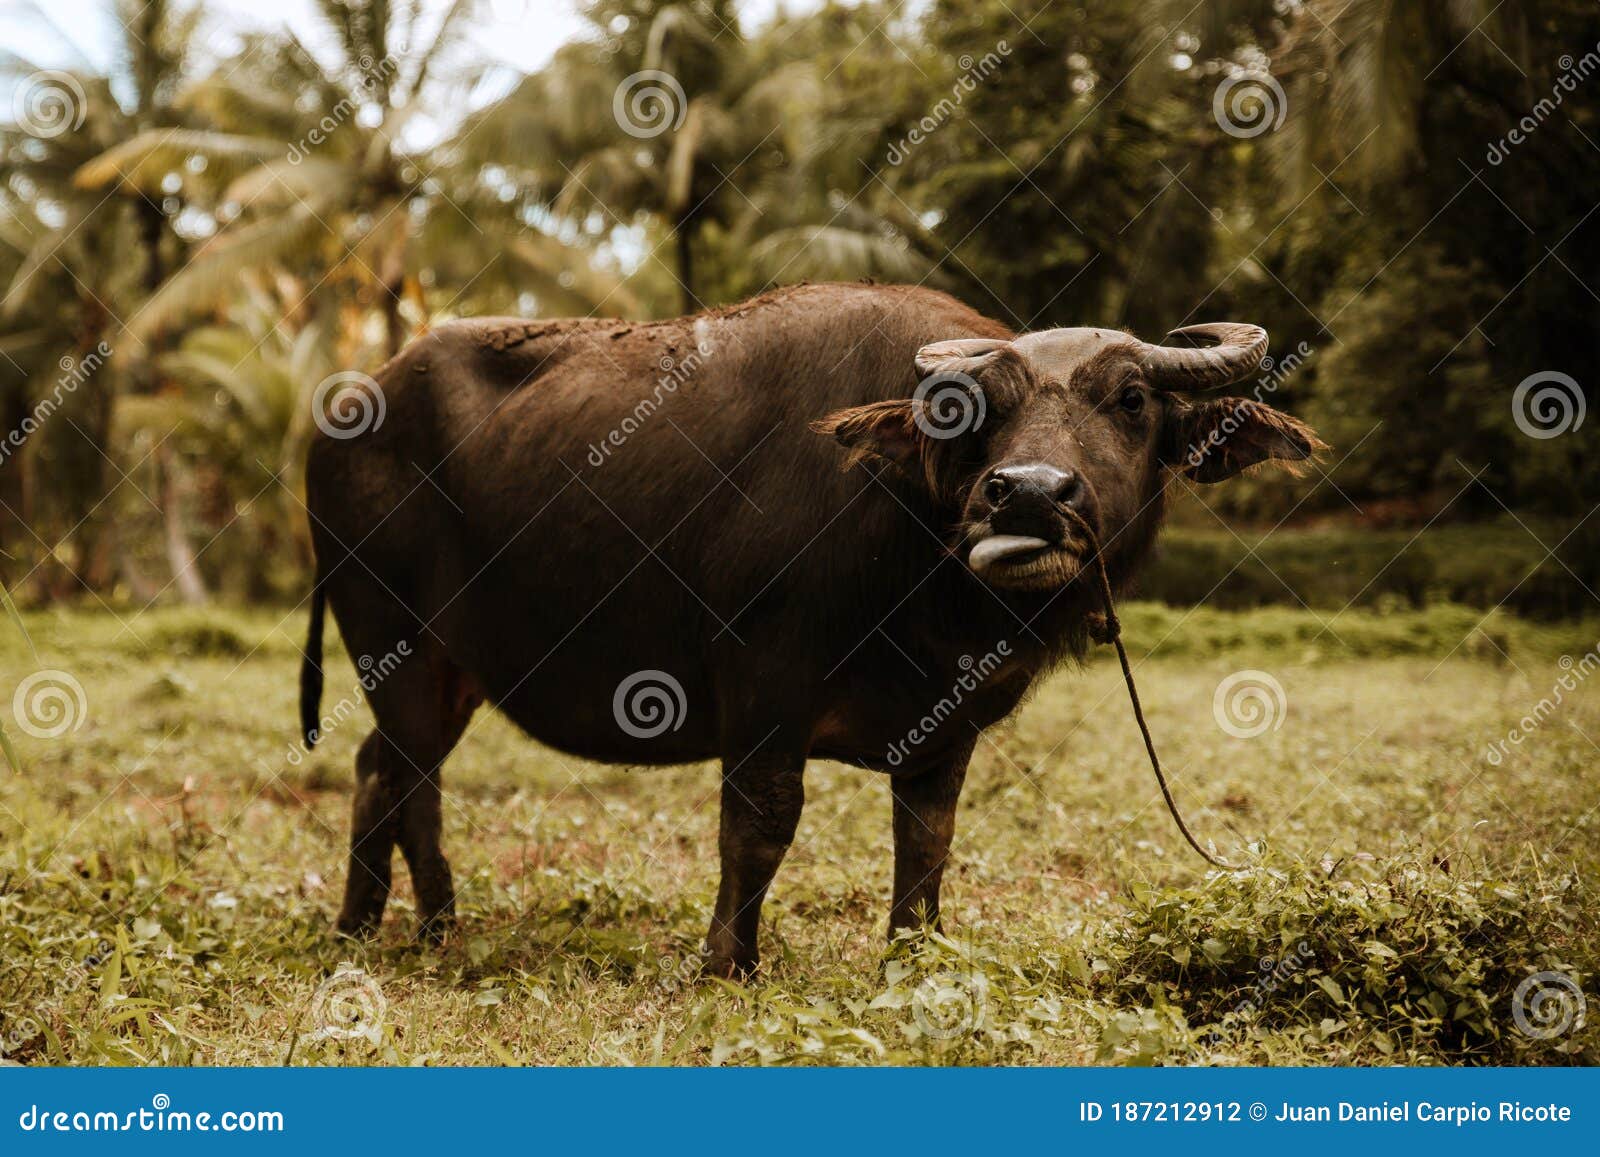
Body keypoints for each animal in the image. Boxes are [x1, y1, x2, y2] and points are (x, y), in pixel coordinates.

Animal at [301, 282, 1323, 976]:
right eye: (980, 411)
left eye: (1132, 399)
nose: (1028, 493)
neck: (917, 567)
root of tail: (349, 405)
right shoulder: (762, 689)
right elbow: (761, 825)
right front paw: (728, 962)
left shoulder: (948, 723)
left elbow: (928, 834)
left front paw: (915, 953)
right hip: (390, 643)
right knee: (398, 774)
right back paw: (393, 928)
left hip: (447, 668)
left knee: (390, 770)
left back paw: (406, 925)